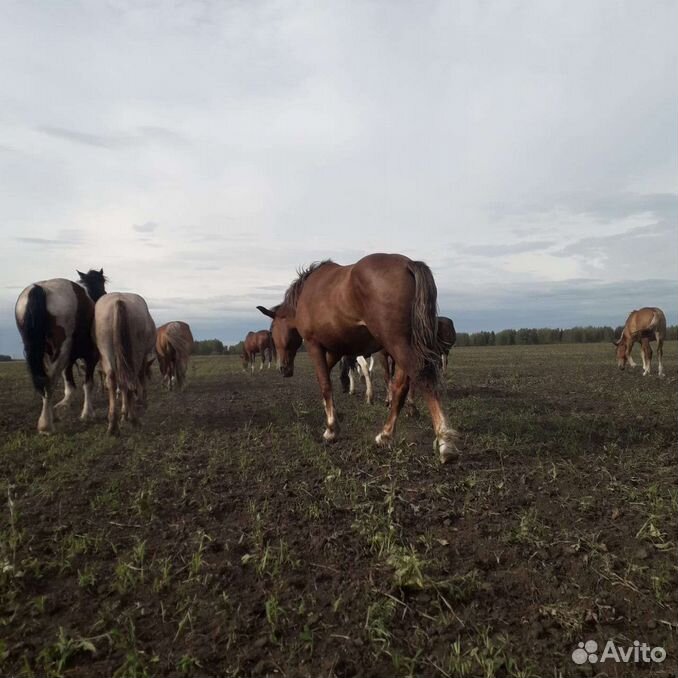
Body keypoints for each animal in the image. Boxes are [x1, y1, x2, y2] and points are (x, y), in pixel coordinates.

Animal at [15, 268, 107, 432]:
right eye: (102, 281)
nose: (105, 295)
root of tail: (39, 289)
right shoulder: (91, 356)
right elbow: (87, 383)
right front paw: (87, 413)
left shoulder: (66, 358)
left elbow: (69, 383)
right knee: (49, 380)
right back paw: (46, 425)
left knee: (46, 380)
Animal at [94, 292, 157, 436]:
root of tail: (118, 301)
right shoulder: (143, 357)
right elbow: (139, 379)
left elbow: (122, 385)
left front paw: (124, 414)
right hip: (136, 352)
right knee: (131, 379)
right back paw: (134, 420)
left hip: (106, 351)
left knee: (112, 379)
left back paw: (113, 425)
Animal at [258, 252, 462, 464]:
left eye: (273, 329)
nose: (283, 369)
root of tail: (408, 264)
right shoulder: (337, 350)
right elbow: (327, 377)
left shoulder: (314, 345)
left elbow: (325, 384)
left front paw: (331, 429)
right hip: (404, 345)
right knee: (401, 386)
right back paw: (386, 435)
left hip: (397, 343)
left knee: (423, 378)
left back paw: (445, 441)